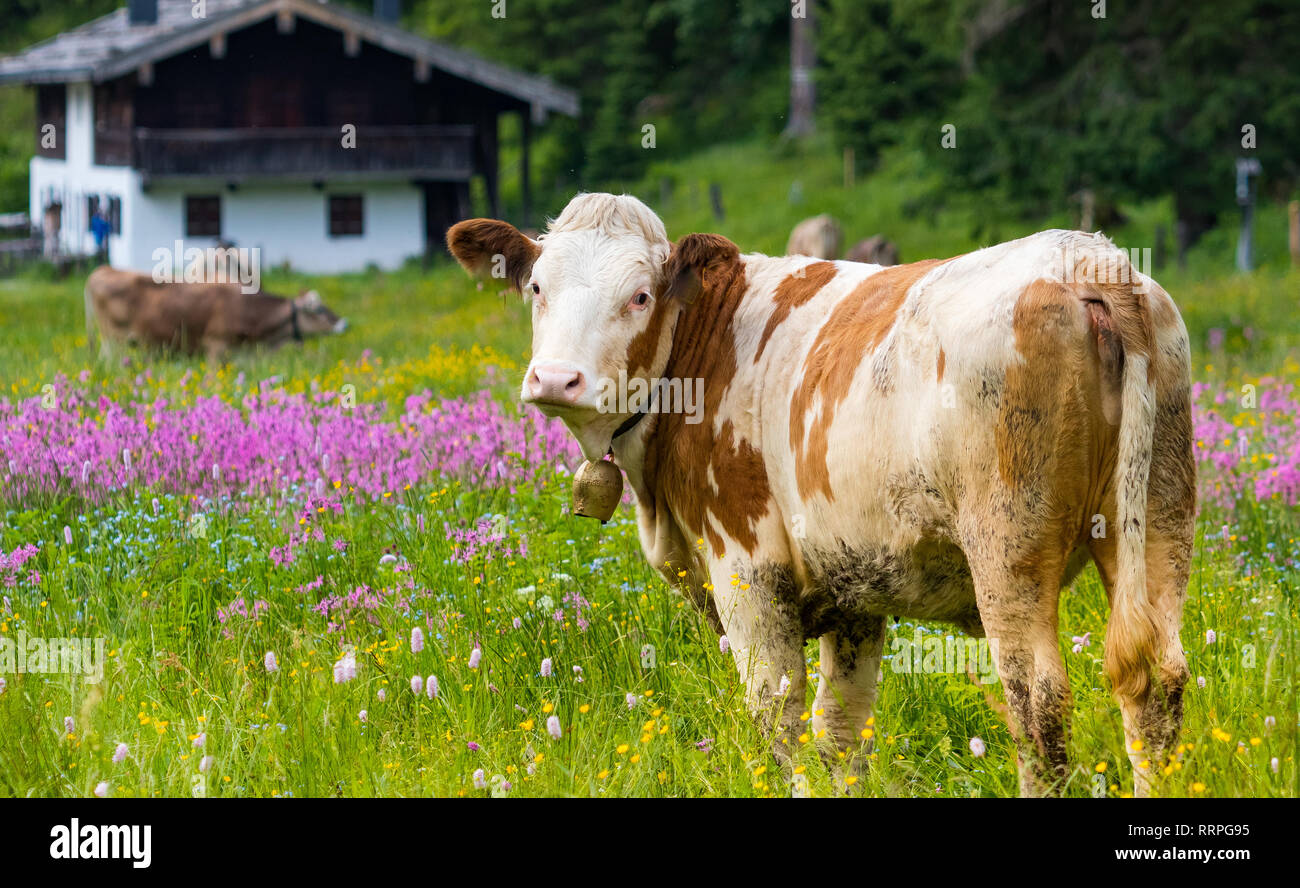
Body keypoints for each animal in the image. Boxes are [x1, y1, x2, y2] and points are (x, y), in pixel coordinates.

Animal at [447, 193, 1194, 797]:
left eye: (638, 296)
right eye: (536, 287)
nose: (556, 379)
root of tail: (1092, 262)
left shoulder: (747, 568)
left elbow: (781, 719)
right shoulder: (854, 588)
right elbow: (840, 731)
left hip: (1008, 548)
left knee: (1036, 702)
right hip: (1160, 517)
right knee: (1154, 681)